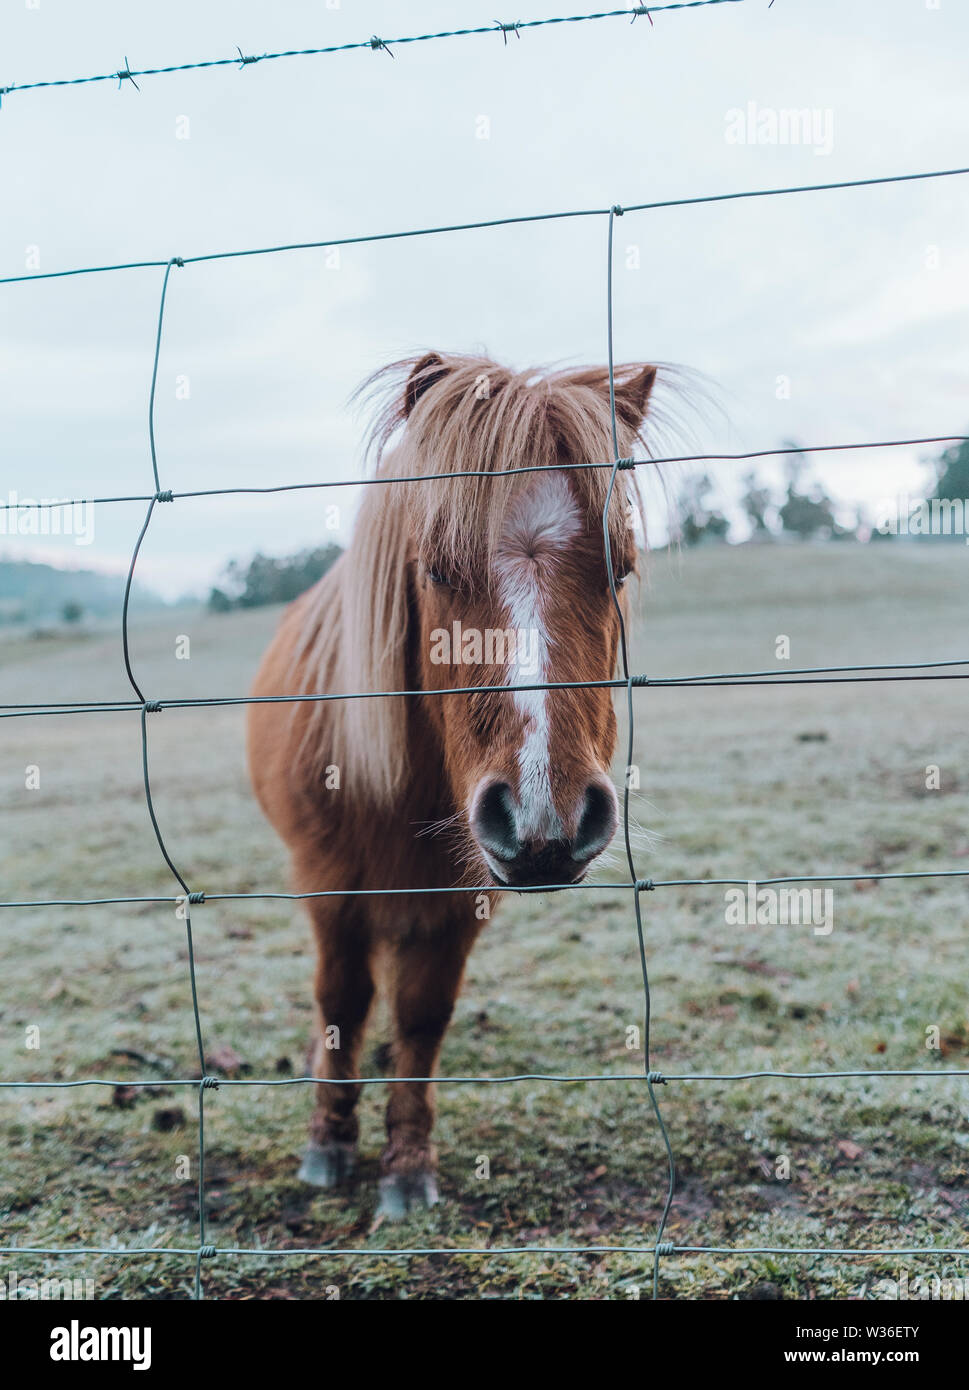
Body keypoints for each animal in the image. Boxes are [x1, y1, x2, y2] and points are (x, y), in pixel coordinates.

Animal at [246, 351, 660, 1218]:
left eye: (621, 568)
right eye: (434, 569)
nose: (545, 816)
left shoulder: (456, 899)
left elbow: (421, 1017)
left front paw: (406, 1166)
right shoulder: (327, 884)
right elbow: (341, 1003)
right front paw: (329, 1142)